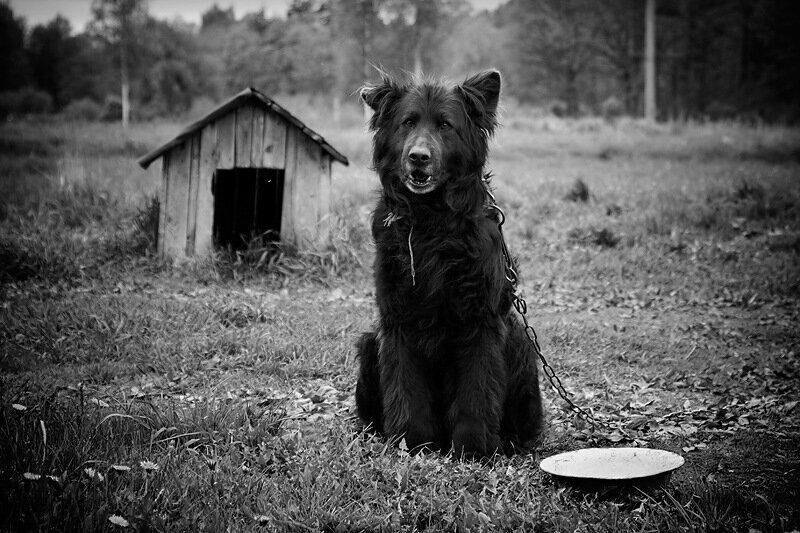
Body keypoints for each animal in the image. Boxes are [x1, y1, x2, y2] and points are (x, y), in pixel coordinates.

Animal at [356, 68, 544, 456]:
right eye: (408, 123)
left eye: (445, 126)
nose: (418, 157)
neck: (431, 220)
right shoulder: (397, 322)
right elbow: (405, 386)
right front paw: (411, 443)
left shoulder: (480, 322)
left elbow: (477, 388)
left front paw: (471, 448)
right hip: (369, 343)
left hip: (520, 341)